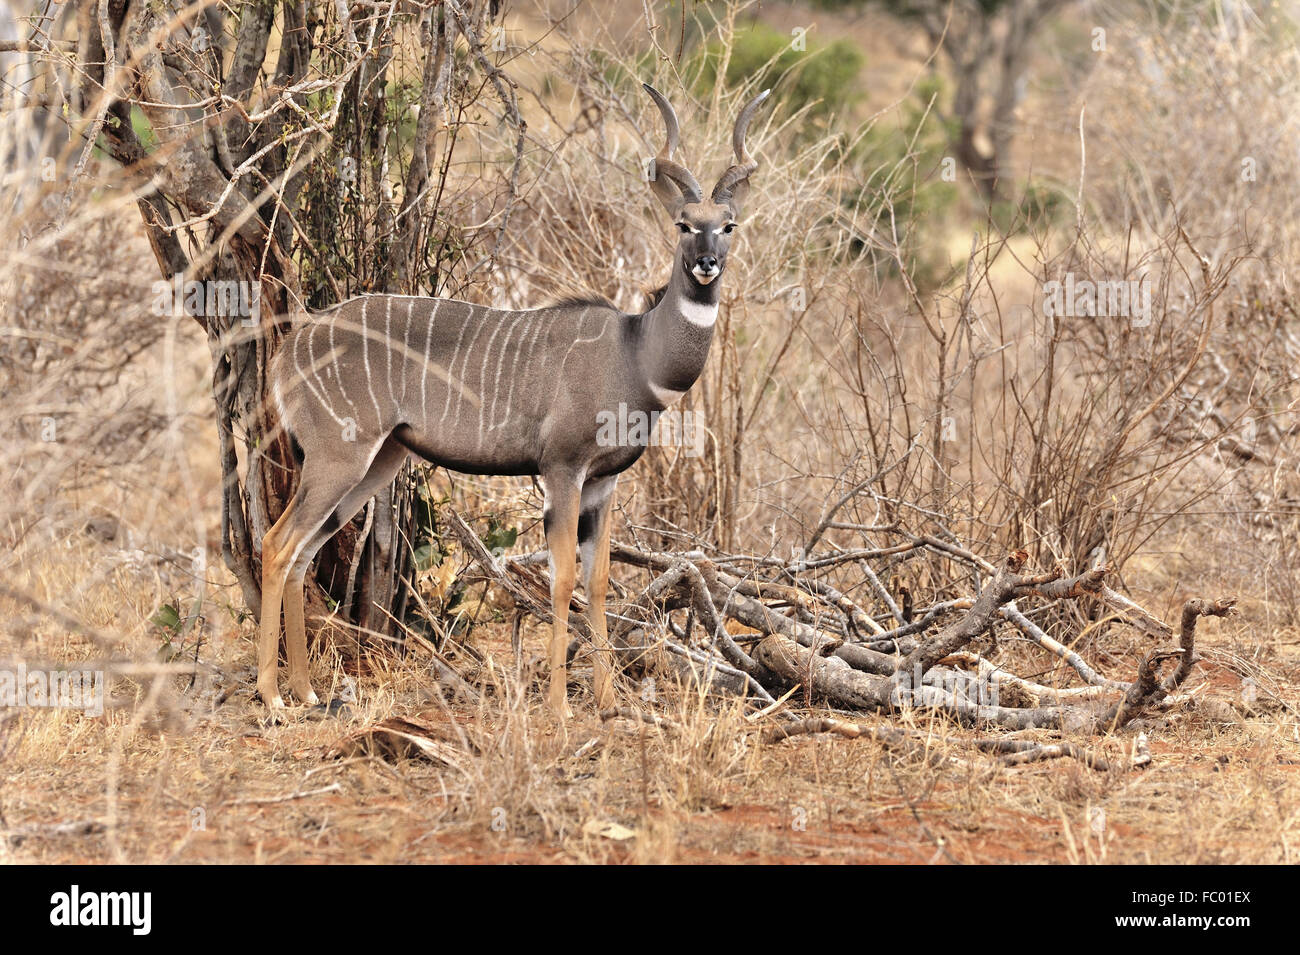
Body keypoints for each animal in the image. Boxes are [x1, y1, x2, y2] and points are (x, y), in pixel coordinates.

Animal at [257, 83, 770, 717]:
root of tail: (292, 344)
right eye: (682, 224)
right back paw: (272, 697)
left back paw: (306, 691)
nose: (706, 264)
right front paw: (559, 703)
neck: (634, 353)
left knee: (303, 553)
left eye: (729, 226)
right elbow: (562, 579)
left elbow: (599, 581)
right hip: (337, 457)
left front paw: (607, 700)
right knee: (277, 543)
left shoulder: (604, 483)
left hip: (379, 462)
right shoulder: (562, 469)